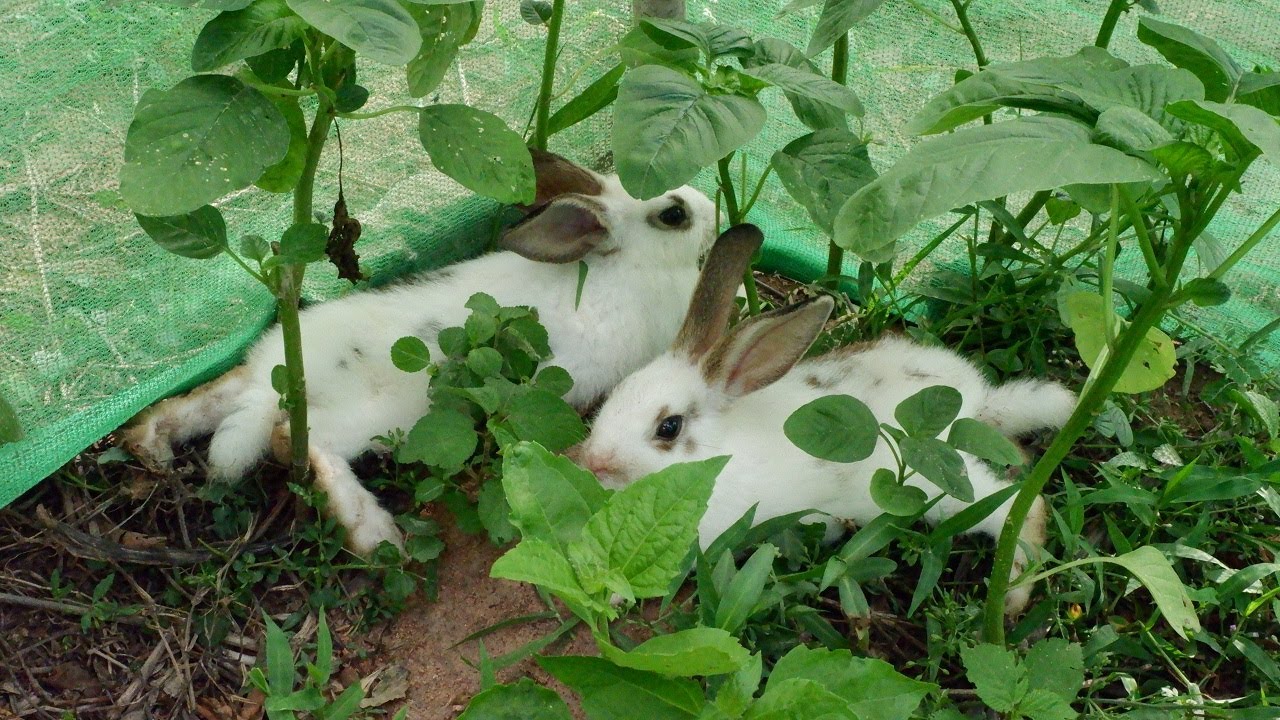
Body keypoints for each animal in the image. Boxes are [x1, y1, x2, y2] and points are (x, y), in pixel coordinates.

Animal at [121, 150, 718, 555]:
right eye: (674, 215)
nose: (713, 210)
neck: (630, 263)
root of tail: (284, 375)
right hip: (378, 417)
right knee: (292, 438)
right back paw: (375, 535)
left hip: (255, 380)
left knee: (216, 396)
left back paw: (150, 444)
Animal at [575, 224, 1077, 614]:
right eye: (616, 394)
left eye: (669, 427)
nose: (594, 461)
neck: (718, 450)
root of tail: (977, 398)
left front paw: (611, 598)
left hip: (937, 486)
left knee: (1024, 506)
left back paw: (1013, 597)